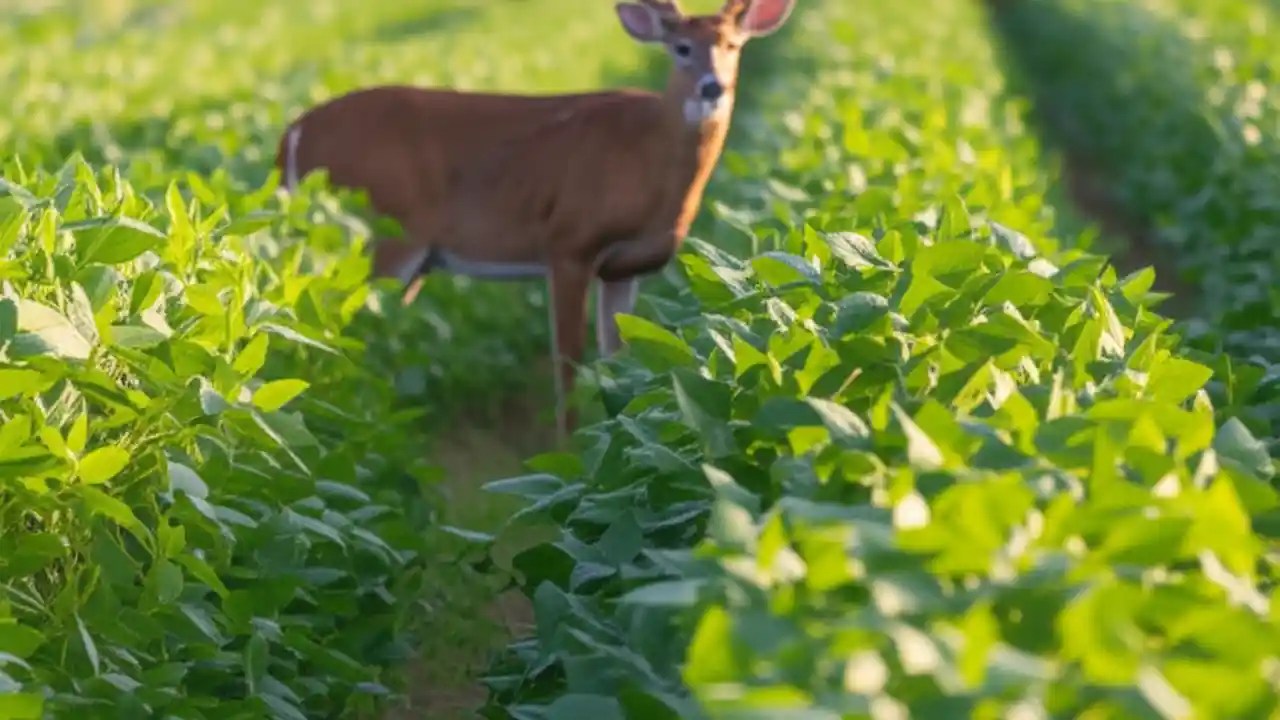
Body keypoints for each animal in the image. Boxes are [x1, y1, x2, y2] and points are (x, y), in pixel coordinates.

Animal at [273, 0, 798, 443]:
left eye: (732, 45)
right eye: (681, 47)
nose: (713, 87)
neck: (651, 158)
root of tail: (293, 133)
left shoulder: (625, 268)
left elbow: (620, 359)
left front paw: (624, 433)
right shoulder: (568, 243)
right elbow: (568, 361)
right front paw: (569, 448)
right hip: (378, 232)